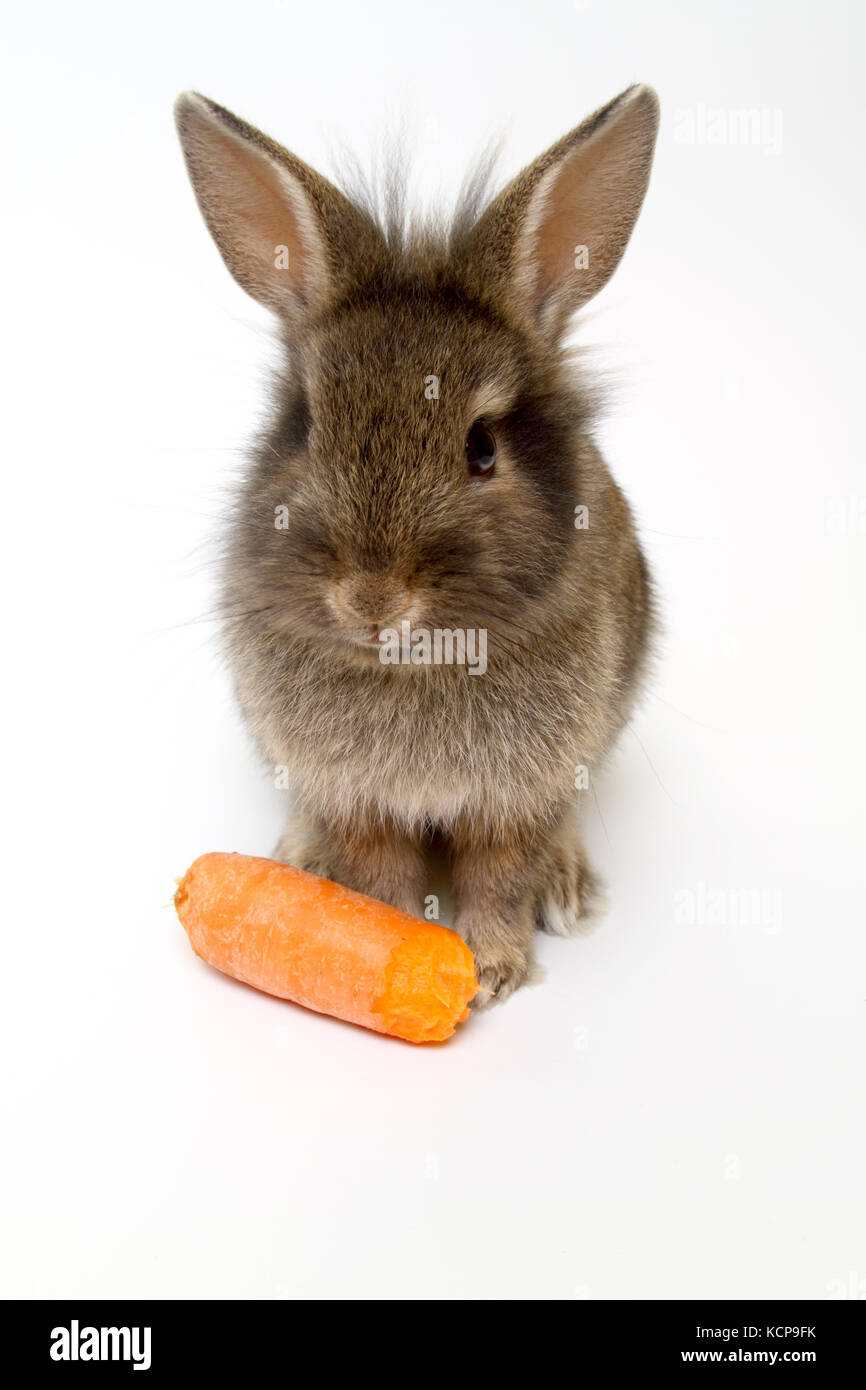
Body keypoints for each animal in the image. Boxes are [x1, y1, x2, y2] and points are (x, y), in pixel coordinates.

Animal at [175, 84, 659, 1006]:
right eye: (306, 427)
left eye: (482, 448)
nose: (372, 599)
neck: (413, 662)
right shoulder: (359, 798)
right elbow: (382, 875)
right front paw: (396, 937)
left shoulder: (517, 795)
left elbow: (501, 875)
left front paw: (493, 973)